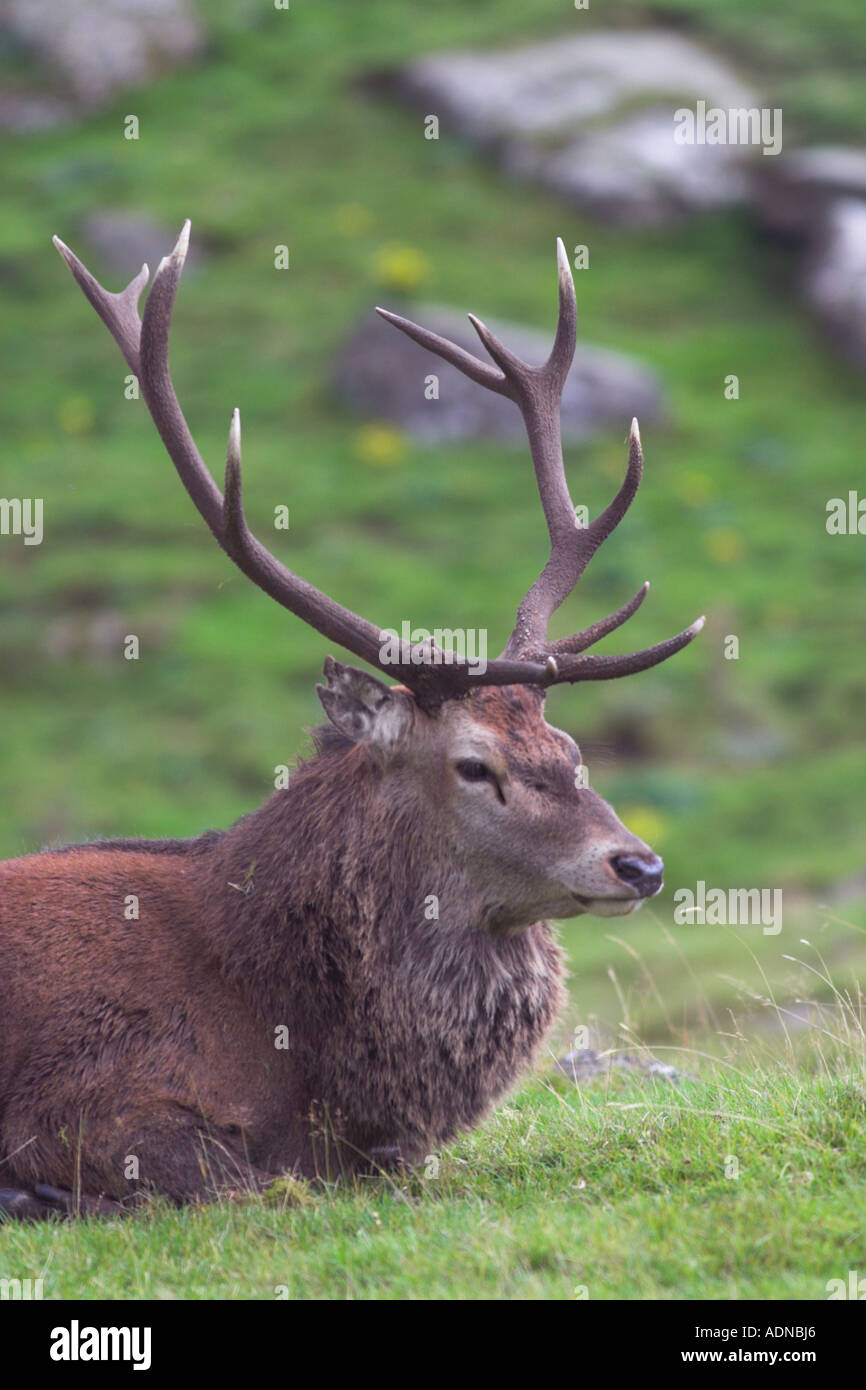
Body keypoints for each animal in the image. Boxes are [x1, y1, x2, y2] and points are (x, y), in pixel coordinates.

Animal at [0, 226, 702, 1218]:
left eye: (569, 749)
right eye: (474, 765)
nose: (639, 864)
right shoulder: (85, 1094)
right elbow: (250, 1185)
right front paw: (42, 1196)